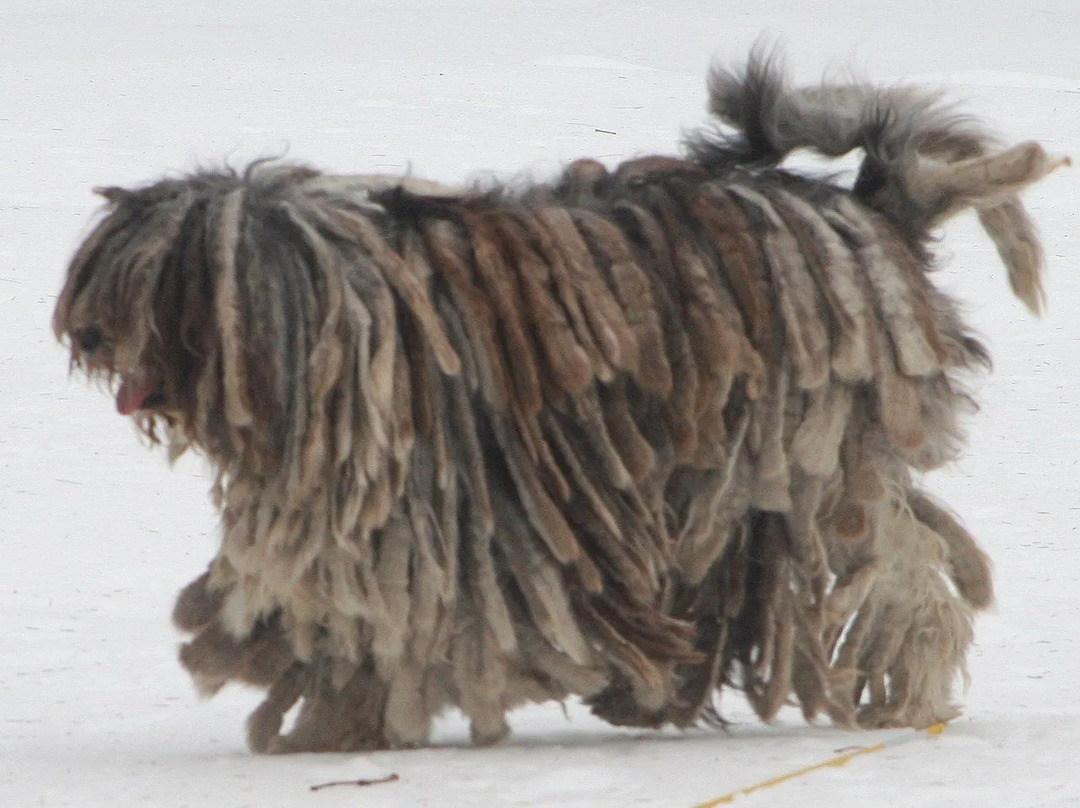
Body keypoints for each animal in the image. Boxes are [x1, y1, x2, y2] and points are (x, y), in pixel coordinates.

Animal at [52, 52, 1062, 751]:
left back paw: (905, 691)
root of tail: (867, 205)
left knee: (904, 578)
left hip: (815, 462)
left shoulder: (438, 523)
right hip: (732, 482)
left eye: (157, 285)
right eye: (107, 273)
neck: (347, 323)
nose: (88, 335)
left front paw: (345, 721)